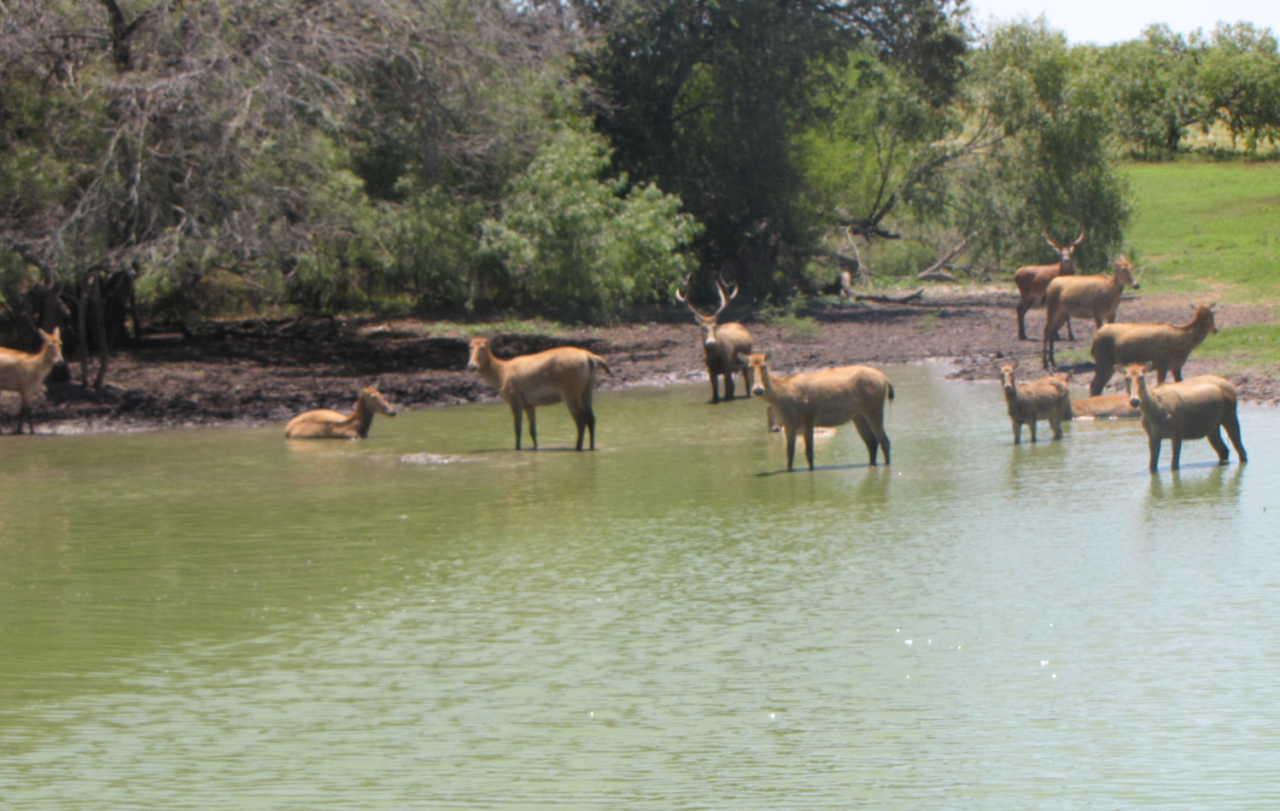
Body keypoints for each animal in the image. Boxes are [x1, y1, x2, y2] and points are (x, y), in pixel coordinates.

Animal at [467, 336, 613, 451]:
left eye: (483, 347)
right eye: (470, 347)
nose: (471, 366)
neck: (501, 375)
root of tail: (590, 357)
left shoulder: (515, 399)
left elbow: (517, 429)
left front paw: (517, 448)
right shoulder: (529, 404)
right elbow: (533, 431)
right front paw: (535, 448)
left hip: (570, 391)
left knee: (581, 419)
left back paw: (578, 447)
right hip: (587, 389)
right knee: (591, 418)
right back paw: (591, 446)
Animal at [676, 275, 753, 403]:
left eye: (715, 326)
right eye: (703, 327)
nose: (711, 342)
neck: (716, 357)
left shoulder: (727, 367)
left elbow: (726, 394)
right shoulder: (711, 370)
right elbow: (715, 394)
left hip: (747, 359)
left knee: (747, 383)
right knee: (733, 386)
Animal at [741, 352, 893, 471]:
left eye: (764, 366)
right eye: (749, 367)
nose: (758, 389)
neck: (783, 395)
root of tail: (885, 379)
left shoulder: (808, 418)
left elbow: (809, 453)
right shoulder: (789, 425)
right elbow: (790, 454)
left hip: (873, 408)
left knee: (884, 441)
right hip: (858, 415)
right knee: (872, 442)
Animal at [1088, 304, 1218, 396]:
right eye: (1212, 314)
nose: (1215, 330)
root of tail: (1094, 338)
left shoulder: (1177, 366)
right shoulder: (1162, 365)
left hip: (1111, 366)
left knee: (1098, 386)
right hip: (1103, 360)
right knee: (1094, 385)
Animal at [1116, 362, 1246, 472]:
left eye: (1142, 377)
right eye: (1126, 378)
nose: (1134, 400)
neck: (1154, 414)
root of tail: (1231, 386)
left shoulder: (1177, 433)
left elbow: (1174, 466)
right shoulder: (1153, 436)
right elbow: (1152, 467)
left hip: (1230, 416)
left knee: (1241, 450)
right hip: (1212, 427)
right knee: (1224, 450)